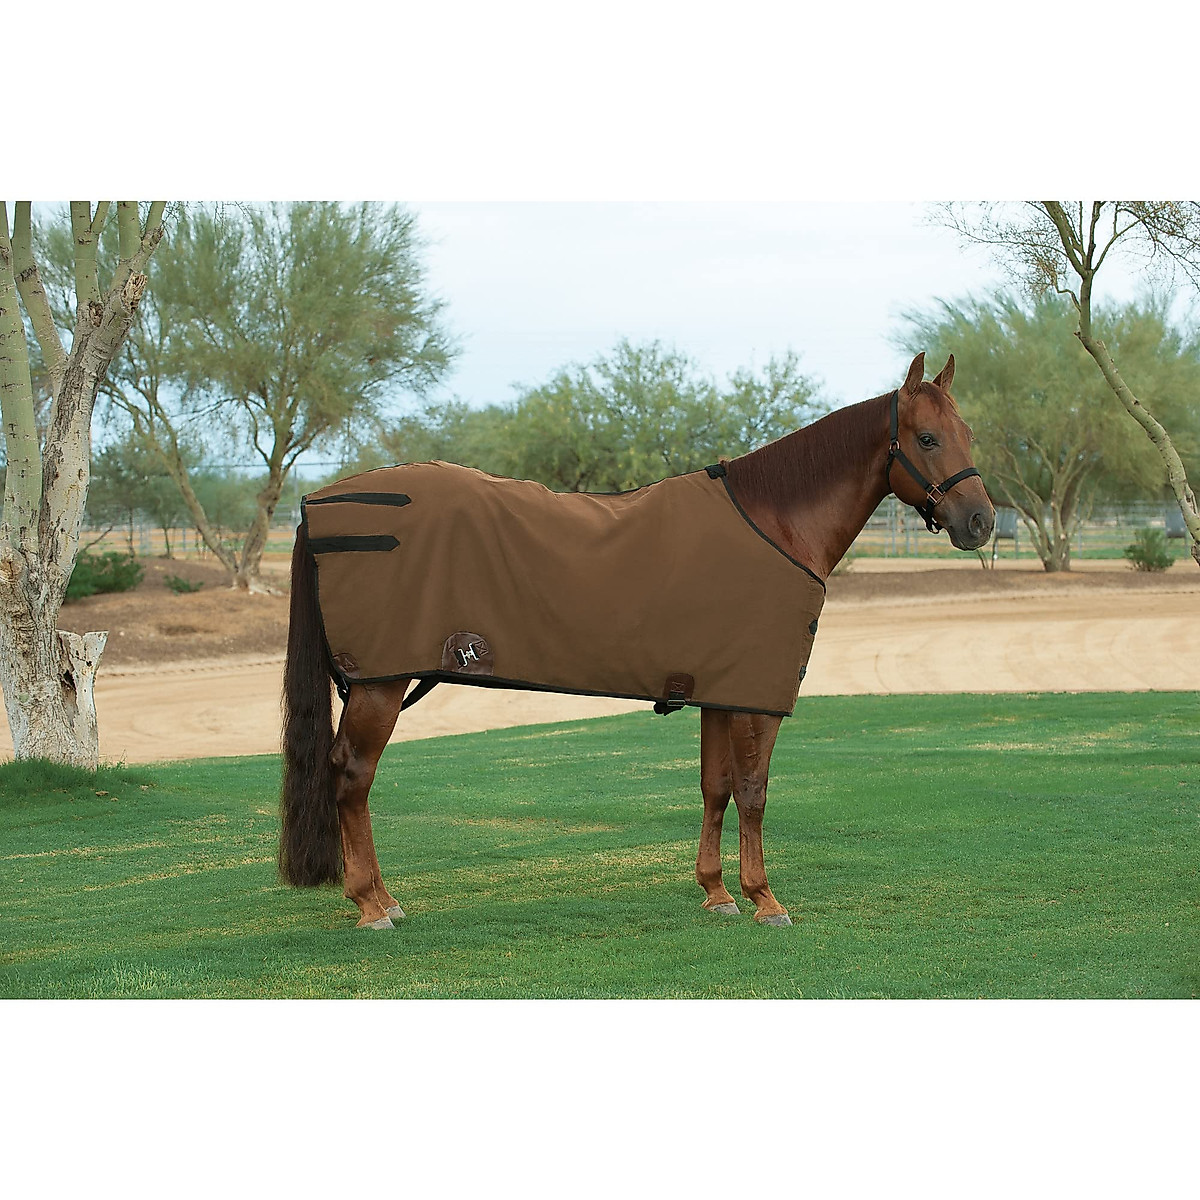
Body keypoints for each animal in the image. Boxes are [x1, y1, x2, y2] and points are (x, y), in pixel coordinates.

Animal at [278, 352, 994, 928]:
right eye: (927, 437)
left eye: (967, 434)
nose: (981, 523)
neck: (774, 524)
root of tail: (318, 503)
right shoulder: (755, 697)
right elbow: (754, 791)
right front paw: (764, 899)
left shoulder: (717, 691)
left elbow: (715, 787)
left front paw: (716, 894)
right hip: (380, 684)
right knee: (353, 775)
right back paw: (373, 904)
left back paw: (382, 898)